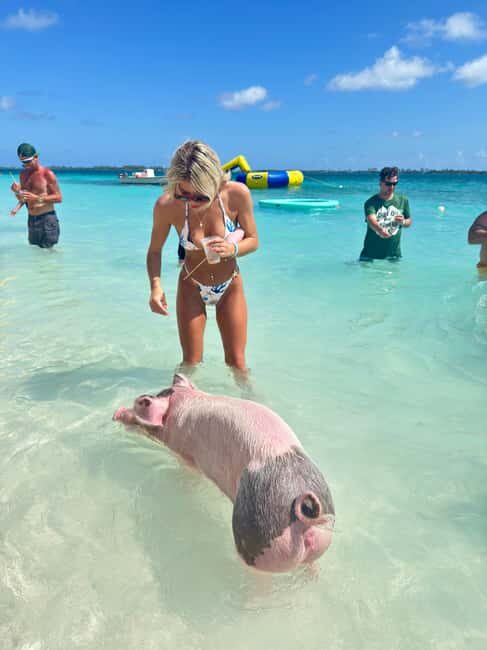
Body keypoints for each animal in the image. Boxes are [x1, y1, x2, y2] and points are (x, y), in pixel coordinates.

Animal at [113, 374, 335, 573]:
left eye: (139, 407)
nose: (116, 412)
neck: (183, 402)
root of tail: (304, 521)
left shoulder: (187, 455)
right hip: (322, 536)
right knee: (312, 566)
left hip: (259, 542)